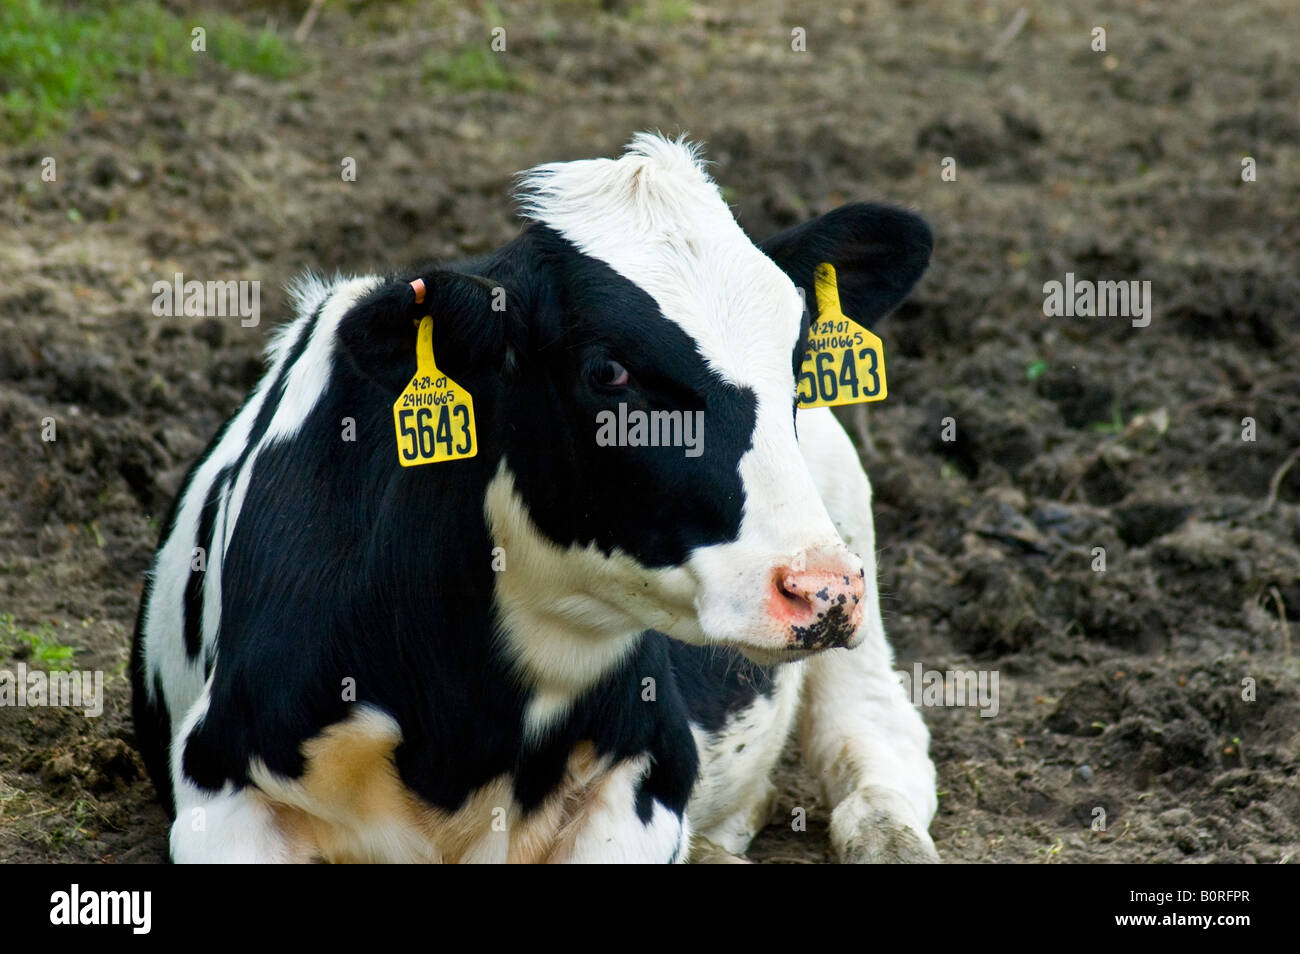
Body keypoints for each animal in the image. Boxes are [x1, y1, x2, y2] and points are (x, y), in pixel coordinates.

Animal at [130, 134, 938, 863]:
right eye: (607, 371)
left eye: (797, 358)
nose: (819, 588)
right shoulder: (220, 788)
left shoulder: (647, 775)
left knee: (876, 732)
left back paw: (887, 836)